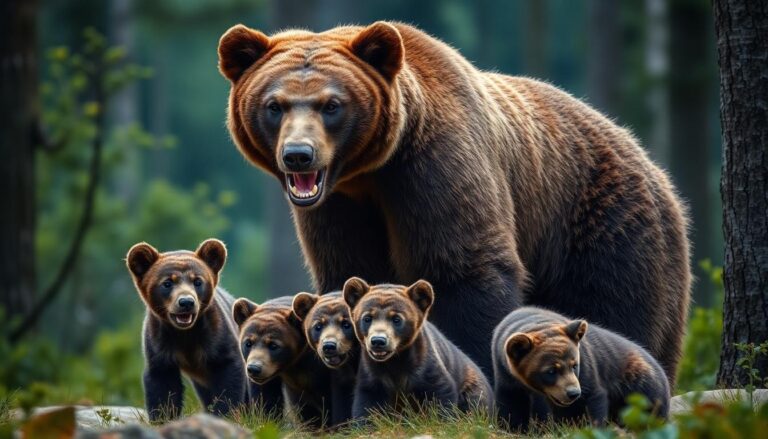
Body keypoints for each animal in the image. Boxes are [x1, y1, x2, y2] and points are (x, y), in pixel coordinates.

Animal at [126, 239, 247, 421]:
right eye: (167, 283)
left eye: (197, 281)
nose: (186, 302)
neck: (185, 333)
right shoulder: (159, 343)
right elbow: (162, 386)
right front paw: (163, 418)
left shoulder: (216, 336)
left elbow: (229, 376)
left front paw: (225, 413)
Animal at [217, 21, 691, 384]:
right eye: (274, 105)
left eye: (332, 104)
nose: (299, 154)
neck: (367, 175)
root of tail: (652, 164)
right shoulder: (338, 208)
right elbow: (352, 272)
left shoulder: (434, 169)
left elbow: (464, 270)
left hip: (602, 221)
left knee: (620, 308)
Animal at [342, 277, 494, 418]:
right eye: (367, 317)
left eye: (397, 319)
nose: (378, 341)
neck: (395, 361)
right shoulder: (372, 373)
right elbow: (367, 404)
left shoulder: (426, 366)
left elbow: (441, 392)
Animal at [492, 306, 670, 430]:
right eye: (550, 370)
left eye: (574, 365)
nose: (573, 393)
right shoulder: (506, 376)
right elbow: (511, 405)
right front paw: (513, 427)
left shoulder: (587, 369)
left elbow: (593, 398)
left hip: (641, 390)